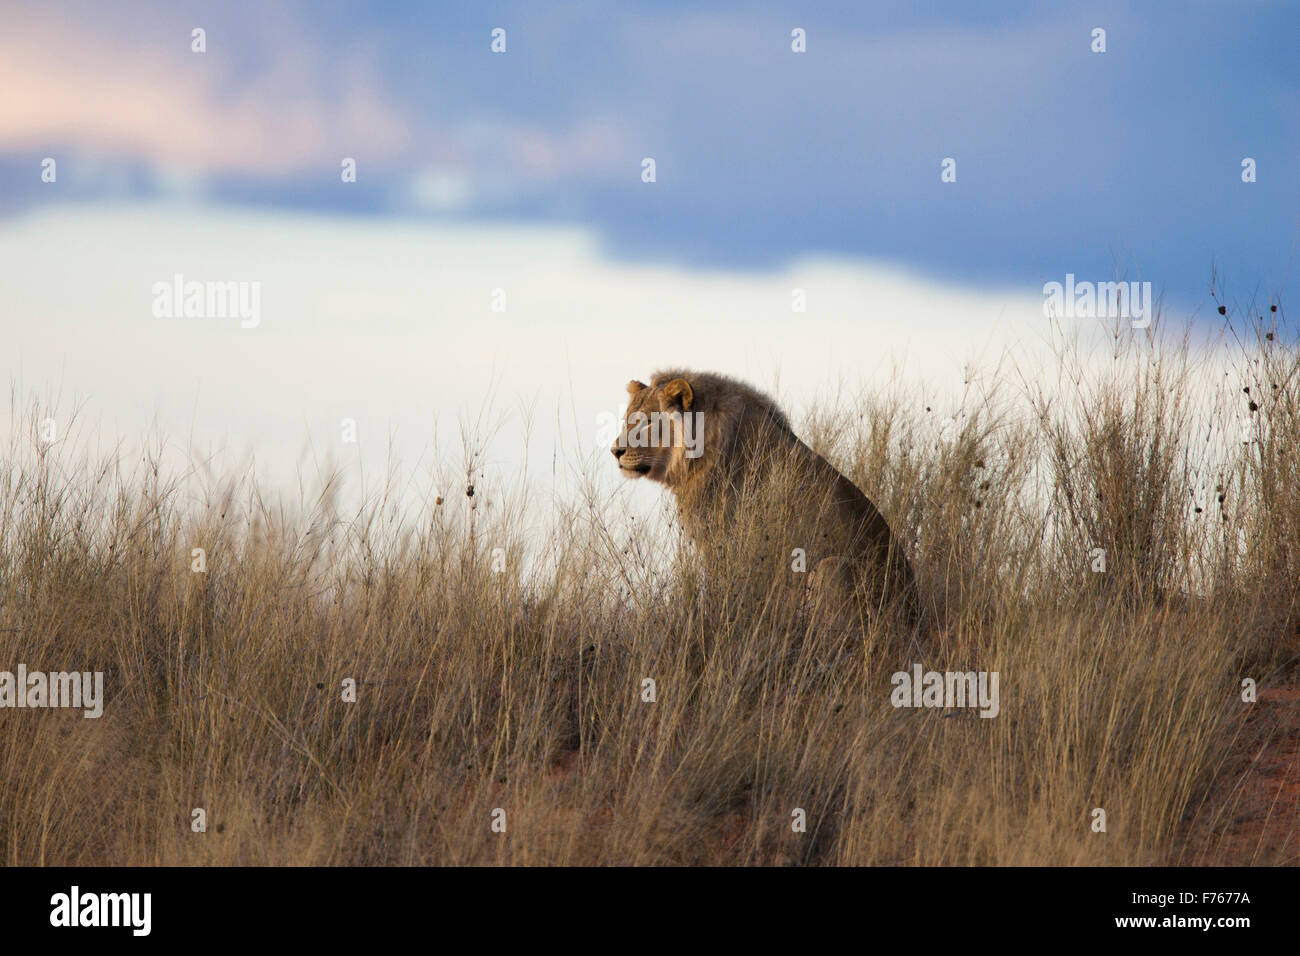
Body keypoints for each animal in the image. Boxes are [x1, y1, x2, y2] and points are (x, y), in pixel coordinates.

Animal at [611, 369, 918, 624]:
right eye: (627, 420)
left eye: (648, 423)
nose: (615, 451)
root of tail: (916, 615)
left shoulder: (725, 543)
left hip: (831, 567)